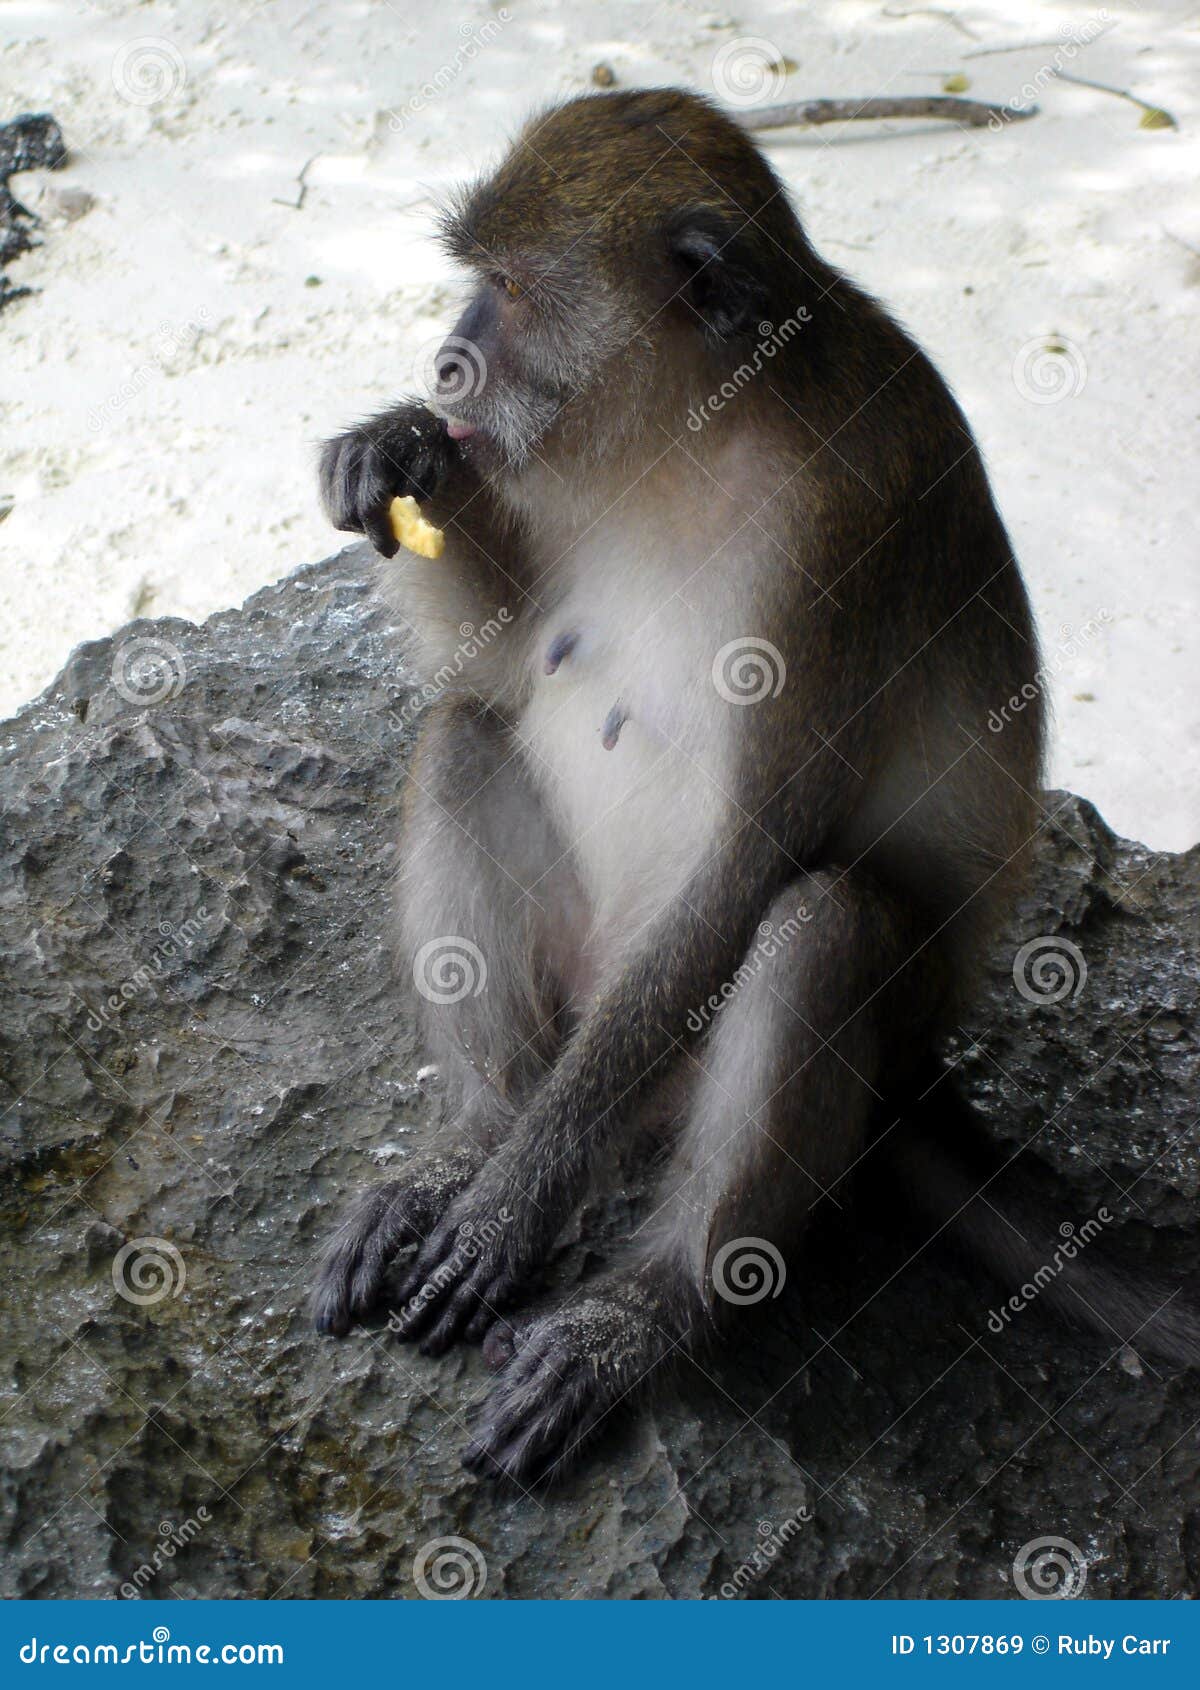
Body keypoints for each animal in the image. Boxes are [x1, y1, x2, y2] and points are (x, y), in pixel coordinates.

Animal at [310, 89, 1192, 1485]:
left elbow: (752, 854)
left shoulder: (841, 530)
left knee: (817, 924)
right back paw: (475, 1135)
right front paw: (393, 451)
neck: (701, 426)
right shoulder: (543, 467)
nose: (447, 359)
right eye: (473, 284)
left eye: (508, 288)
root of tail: (918, 1085)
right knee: (462, 736)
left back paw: (642, 1305)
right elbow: (499, 667)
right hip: (583, 980)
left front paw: (511, 1210)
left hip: (737, 1046)